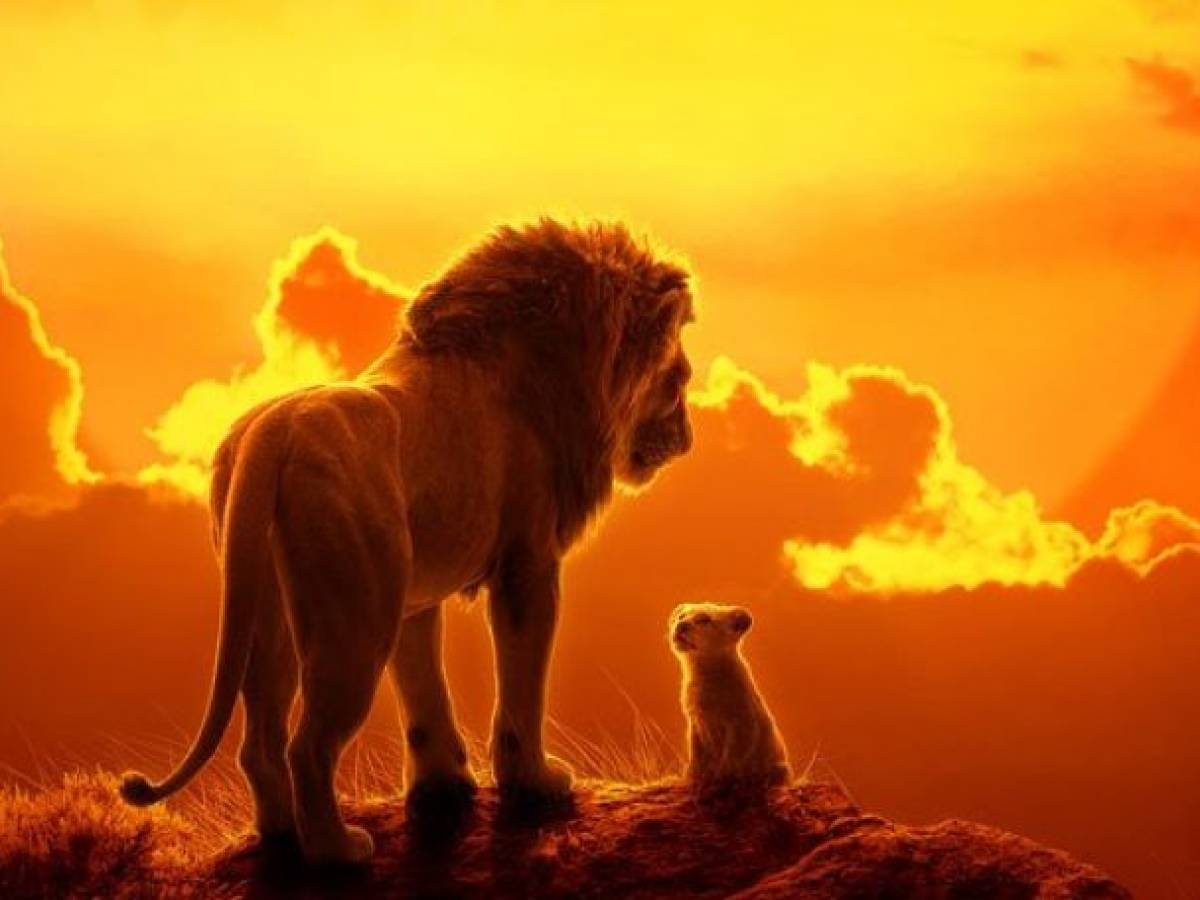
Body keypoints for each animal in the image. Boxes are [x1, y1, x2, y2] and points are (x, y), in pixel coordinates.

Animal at [119, 219, 695, 865]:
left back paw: (282, 837)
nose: (688, 439)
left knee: (261, 739)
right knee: (308, 746)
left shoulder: (414, 593)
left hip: (270, 608)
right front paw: (536, 783)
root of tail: (271, 435)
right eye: (679, 380)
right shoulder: (527, 564)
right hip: (355, 618)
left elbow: (423, 690)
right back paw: (338, 851)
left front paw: (443, 785)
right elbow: (522, 685)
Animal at [670, 603, 791, 787]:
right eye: (681, 616)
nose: (681, 625)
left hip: (782, 768)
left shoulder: (742, 724)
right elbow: (696, 755)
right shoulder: (695, 723)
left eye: (703, 619)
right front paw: (693, 777)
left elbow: (731, 757)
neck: (701, 671)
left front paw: (721, 780)